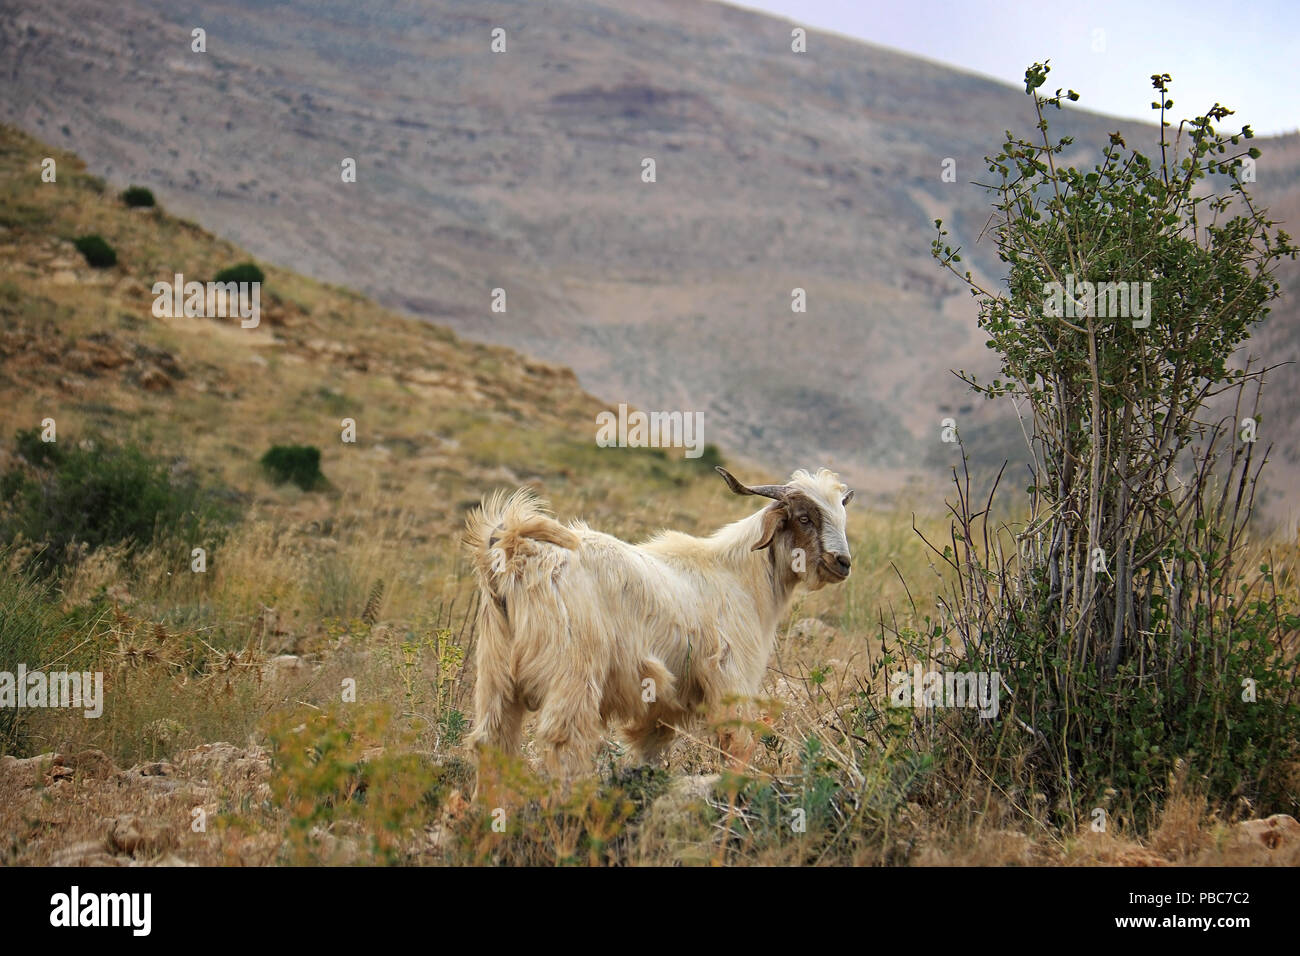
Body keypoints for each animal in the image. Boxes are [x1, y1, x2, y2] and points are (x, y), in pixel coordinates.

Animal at [464, 466, 854, 779]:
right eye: (804, 517)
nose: (843, 562)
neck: (739, 575)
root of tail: (517, 550)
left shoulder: (662, 707)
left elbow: (648, 749)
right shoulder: (731, 675)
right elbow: (737, 744)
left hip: (496, 674)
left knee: (492, 741)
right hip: (572, 672)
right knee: (565, 742)